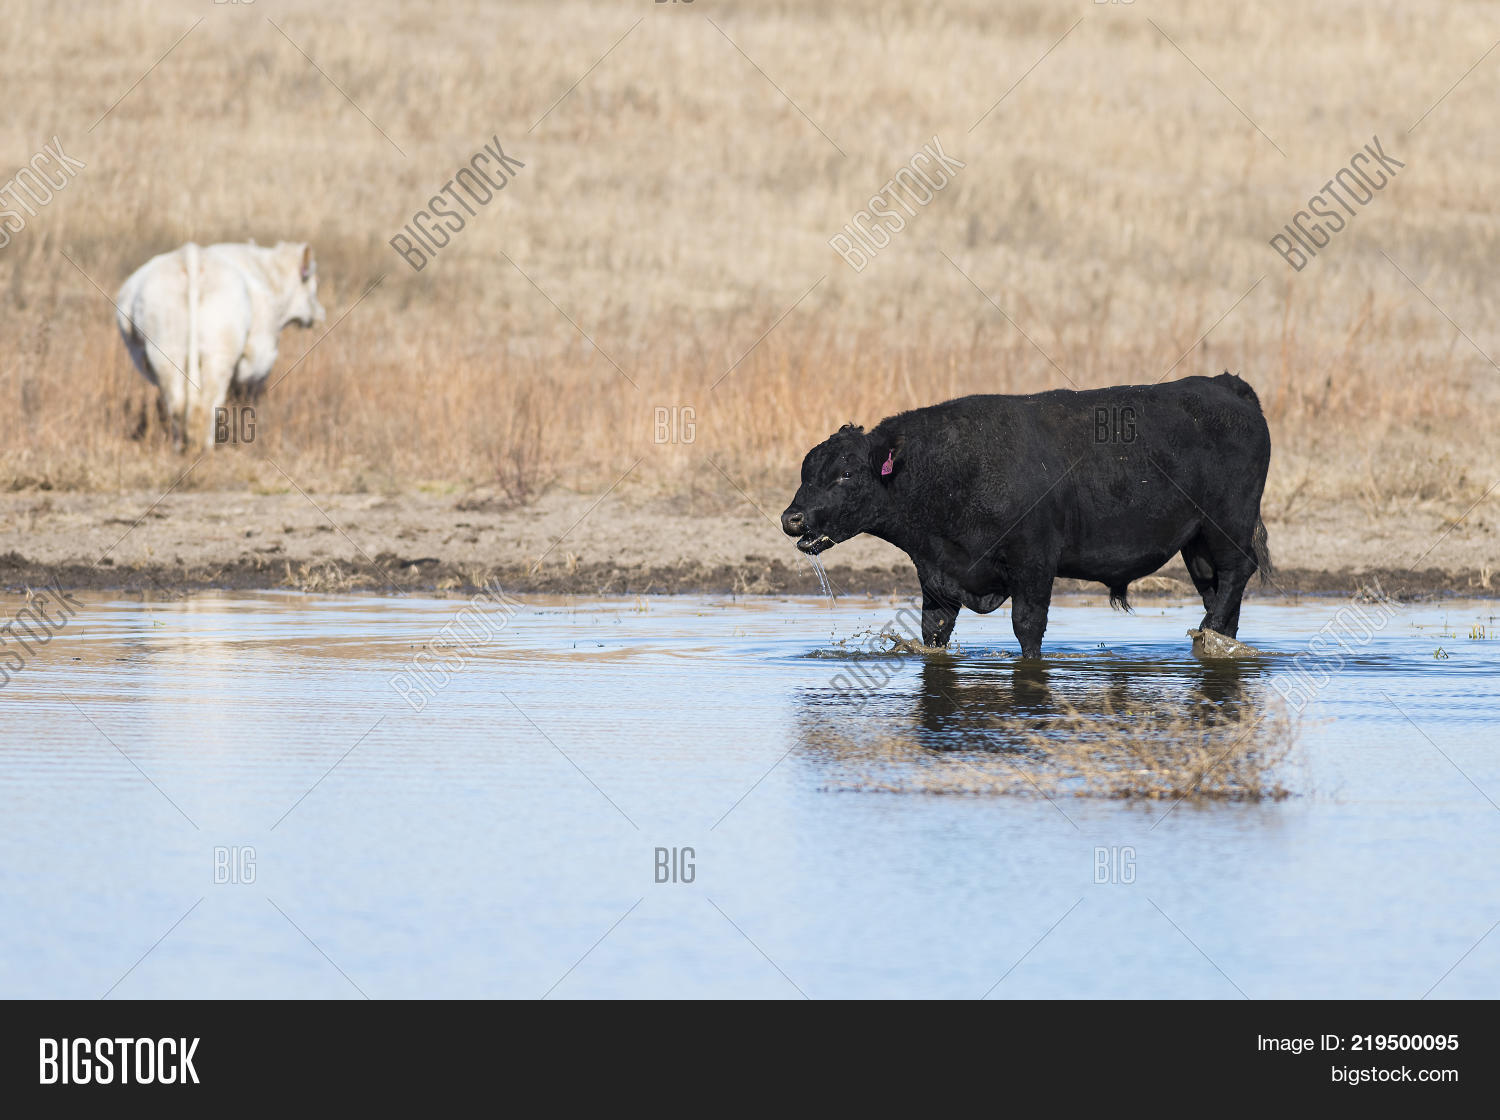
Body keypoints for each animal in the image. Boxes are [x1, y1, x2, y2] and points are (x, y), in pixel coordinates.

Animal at [115, 241, 325, 449]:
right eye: (313, 284)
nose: (320, 314)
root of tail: (191, 255)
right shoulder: (259, 363)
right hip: (219, 354)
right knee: (207, 405)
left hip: (166, 352)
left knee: (178, 403)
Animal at [781, 374, 1273, 657]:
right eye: (806, 471)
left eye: (845, 473)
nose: (792, 519)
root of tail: (1225, 384)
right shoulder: (936, 576)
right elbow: (933, 632)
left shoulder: (1034, 564)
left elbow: (1029, 630)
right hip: (1197, 543)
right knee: (1219, 594)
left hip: (1228, 525)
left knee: (1236, 574)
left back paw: (1208, 637)